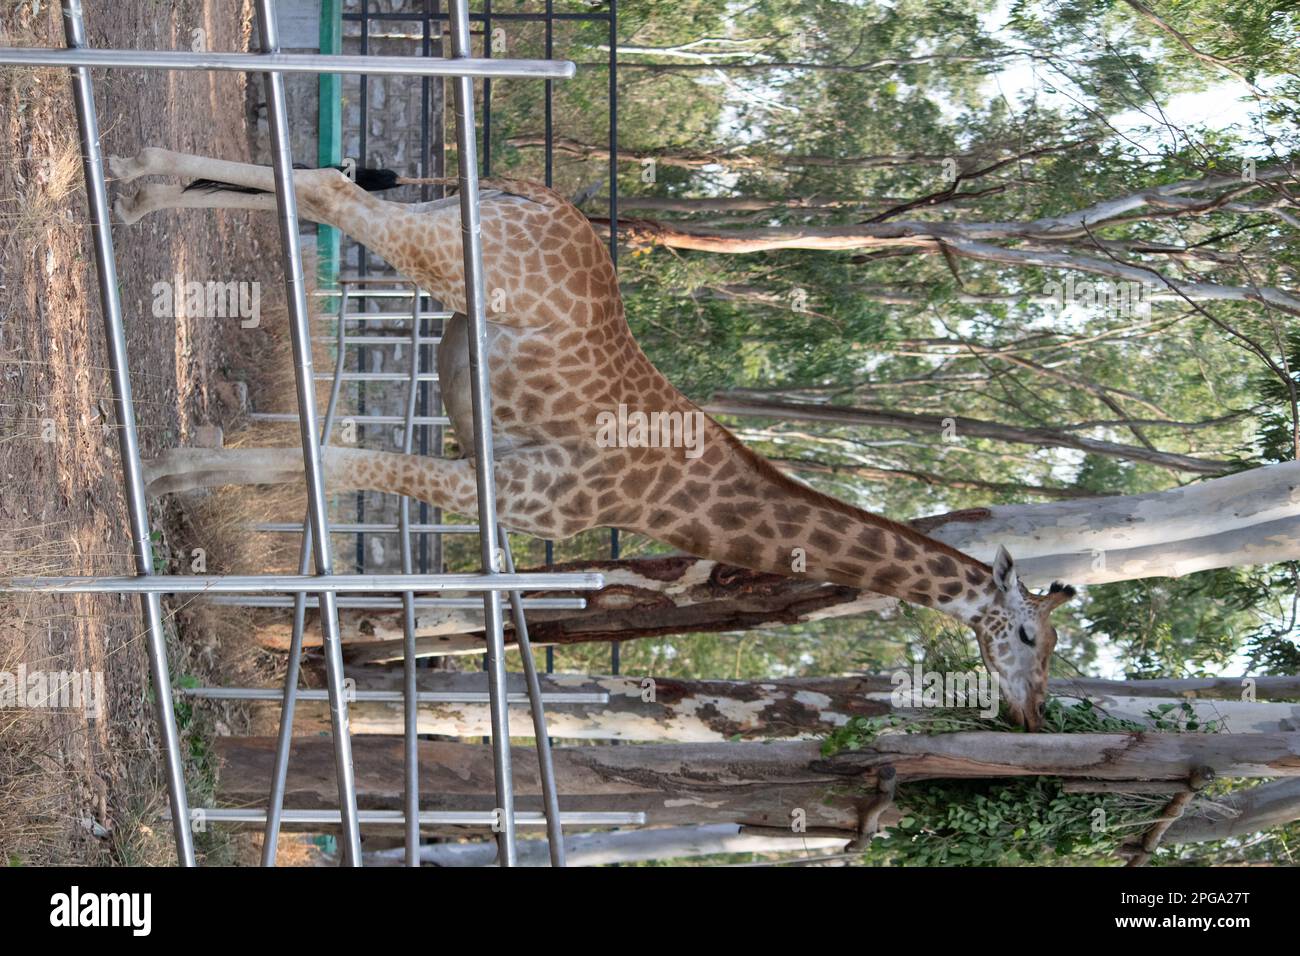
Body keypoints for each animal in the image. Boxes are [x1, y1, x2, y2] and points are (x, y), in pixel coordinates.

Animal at [111, 147, 1076, 731]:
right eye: (1033, 638)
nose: (1031, 714)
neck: (671, 502)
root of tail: (530, 191)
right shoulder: (503, 490)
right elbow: (339, 459)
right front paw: (166, 473)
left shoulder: (482, 467)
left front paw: (183, 460)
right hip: (439, 250)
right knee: (327, 188)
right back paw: (139, 191)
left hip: (442, 227)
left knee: (310, 175)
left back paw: (140, 184)